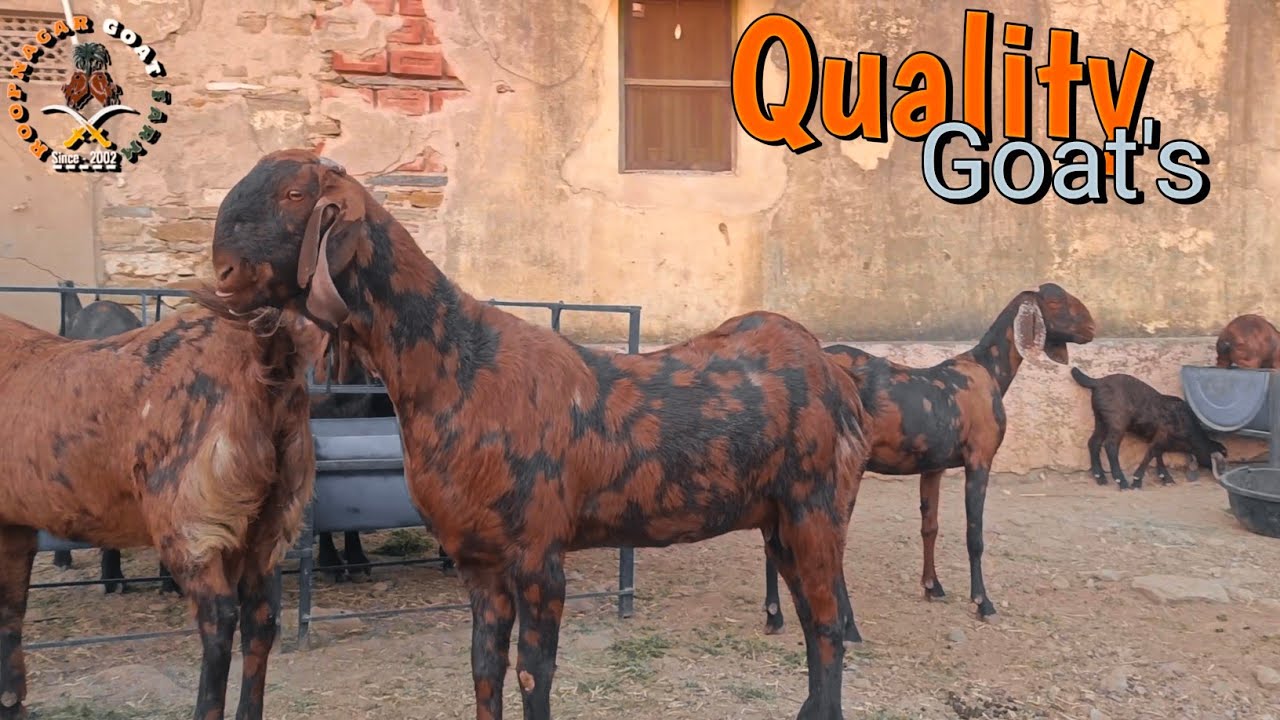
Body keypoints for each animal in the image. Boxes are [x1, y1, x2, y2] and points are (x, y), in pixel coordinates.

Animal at [208, 149, 870, 720]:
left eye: (295, 194)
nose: (224, 273)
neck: (463, 366)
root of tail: (829, 369)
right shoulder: (479, 559)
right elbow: (484, 667)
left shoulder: (538, 554)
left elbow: (534, 673)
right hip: (779, 522)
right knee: (813, 619)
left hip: (816, 509)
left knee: (828, 626)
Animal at [762, 284, 1095, 633]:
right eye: (1055, 300)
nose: (1091, 327)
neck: (987, 371)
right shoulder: (980, 459)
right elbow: (974, 535)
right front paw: (982, 602)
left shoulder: (932, 467)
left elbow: (930, 526)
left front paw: (932, 586)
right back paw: (845, 623)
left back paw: (775, 614)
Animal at [1071, 368, 1227, 490]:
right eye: (1220, 464)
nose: (1222, 476)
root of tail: (1098, 381)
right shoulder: (1162, 435)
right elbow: (1151, 453)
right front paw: (1137, 481)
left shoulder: (1160, 439)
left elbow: (1158, 454)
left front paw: (1166, 477)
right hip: (1117, 422)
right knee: (1110, 446)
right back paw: (1121, 481)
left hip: (1101, 420)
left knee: (1094, 442)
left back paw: (1100, 476)